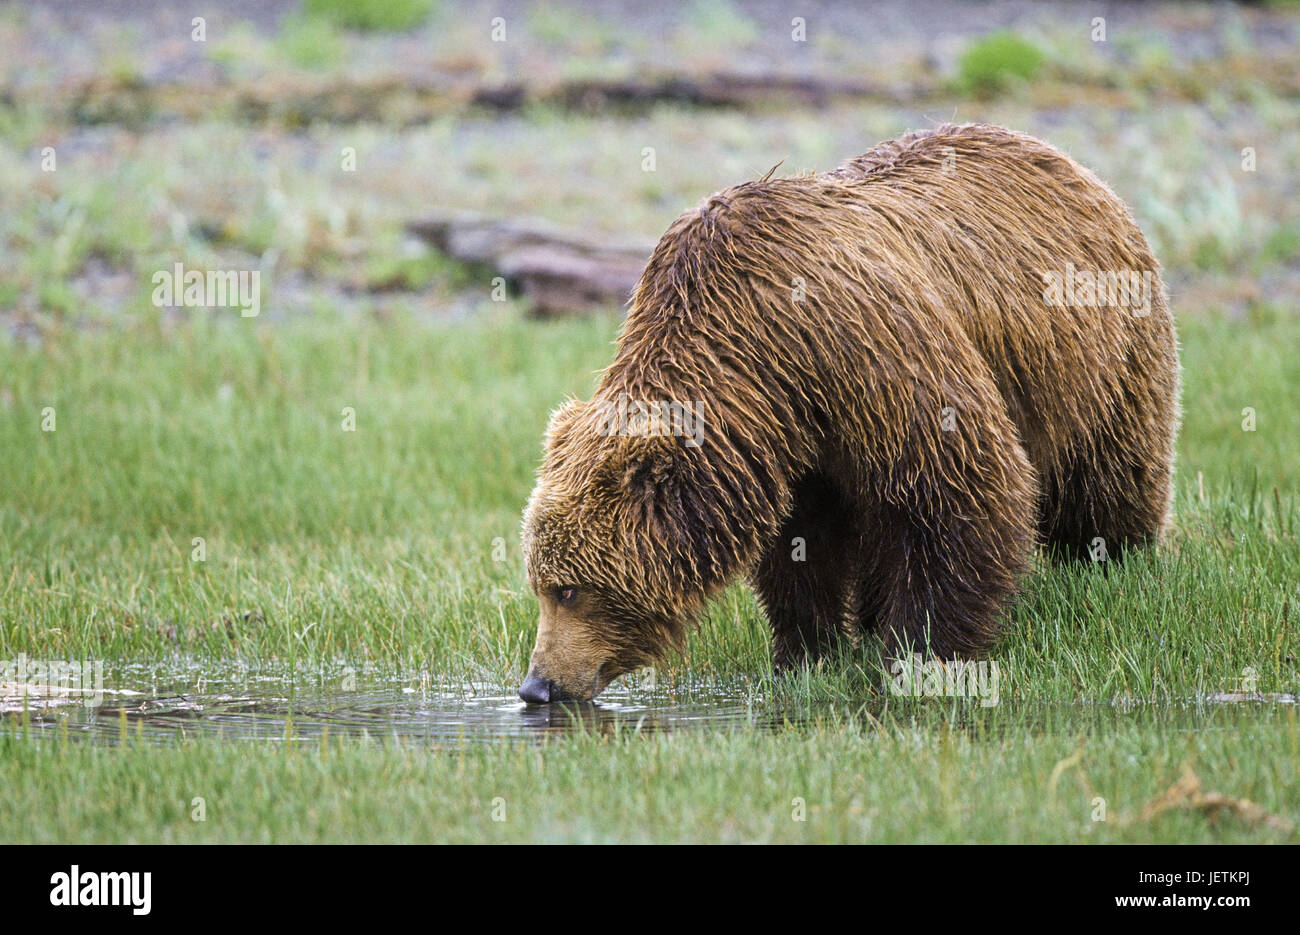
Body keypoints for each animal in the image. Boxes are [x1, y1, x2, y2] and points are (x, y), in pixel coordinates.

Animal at [519, 123, 1180, 703]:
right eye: (539, 583)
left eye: (569, 589)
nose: (537, 685)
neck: (756, 354)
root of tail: (1068, 162)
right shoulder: (787, 442)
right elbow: (800, 545)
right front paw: (808, 653)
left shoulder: (865, 354)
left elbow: (957, 486)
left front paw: (919, 653)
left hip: (1098, 358)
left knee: (1106, 475)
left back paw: (1111, 564)